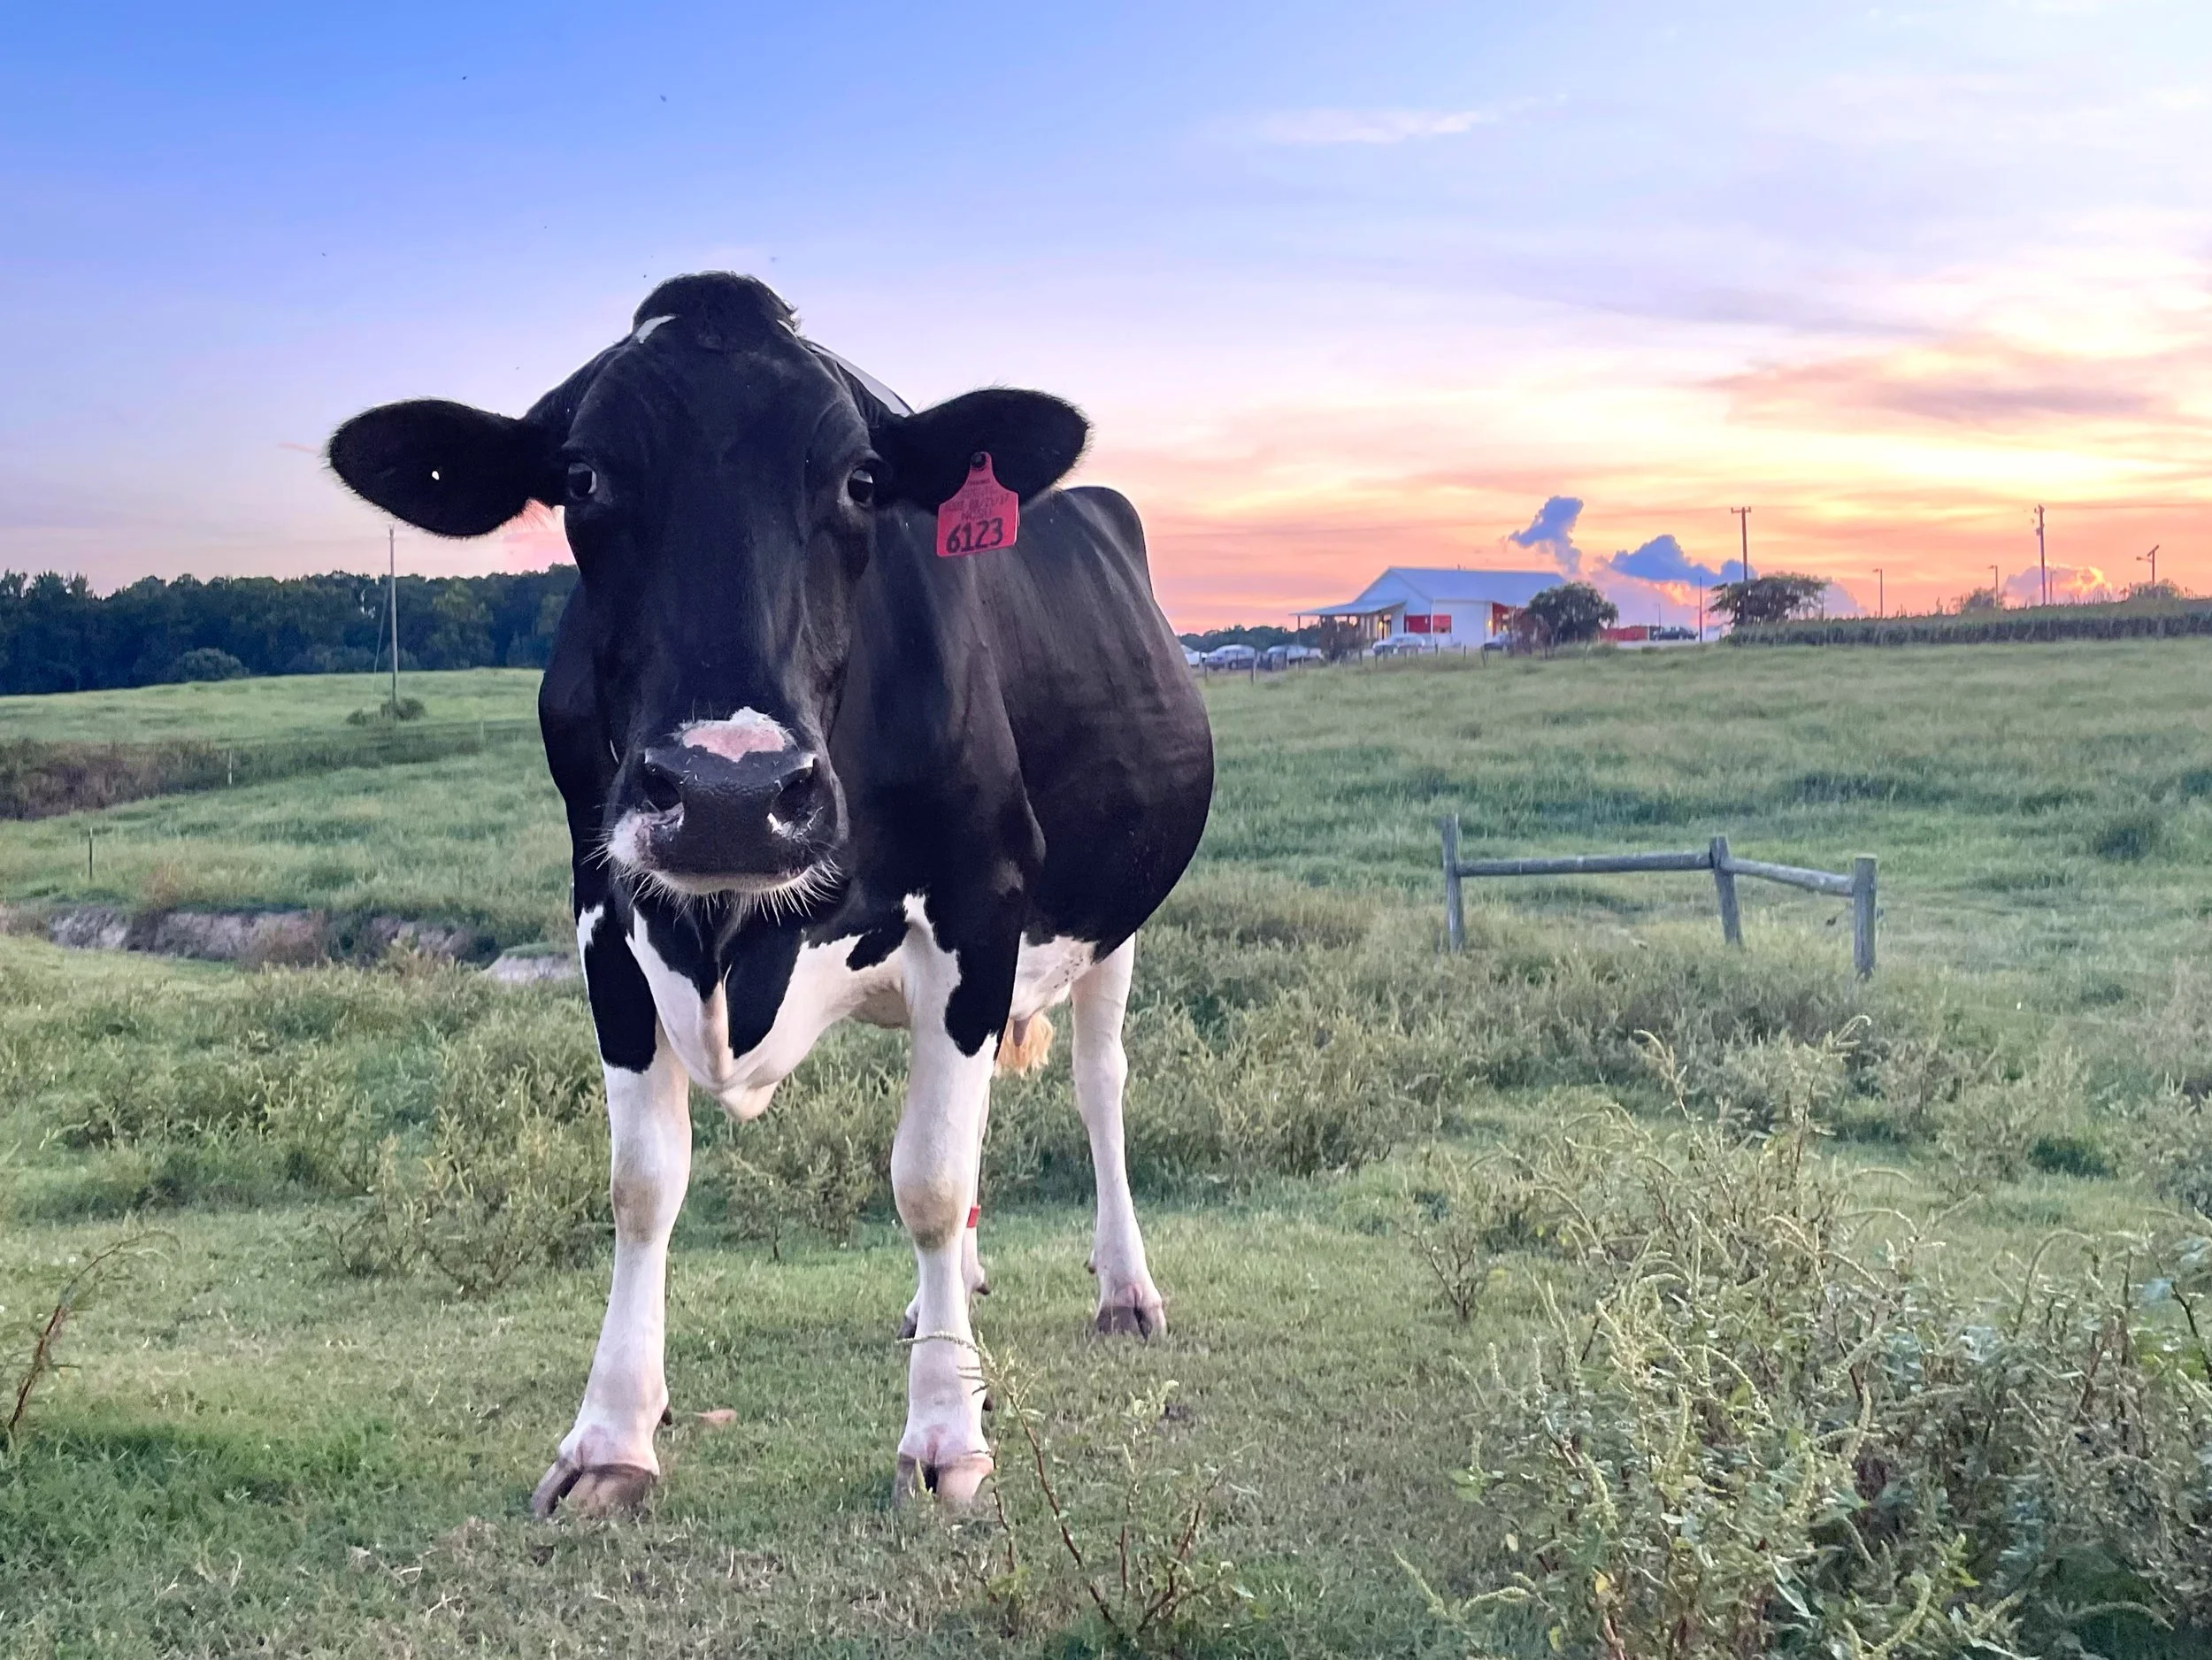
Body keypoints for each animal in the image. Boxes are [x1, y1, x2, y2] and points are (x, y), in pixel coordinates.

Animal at [326, 273, 1214, 1515]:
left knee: (1098, 1085)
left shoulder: (981, 900)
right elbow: (642, 1182)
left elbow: (927, 1175)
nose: (729, 791)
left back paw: (1123, 1290)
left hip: (1108, 920)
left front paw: (945, 1435)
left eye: (859, 481)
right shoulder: (603, 911)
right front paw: (611, 1434)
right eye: (583, 477)